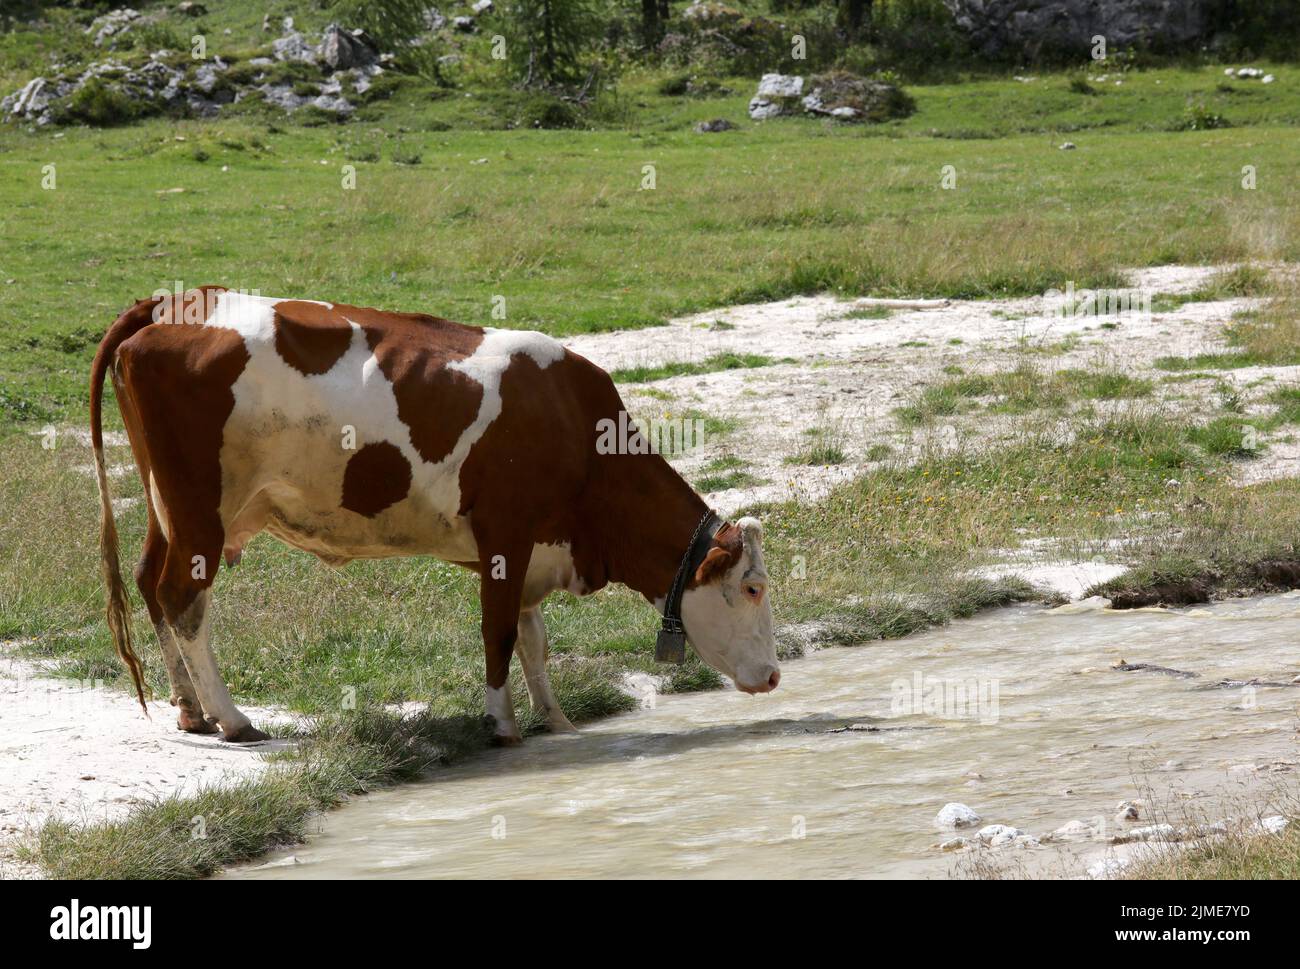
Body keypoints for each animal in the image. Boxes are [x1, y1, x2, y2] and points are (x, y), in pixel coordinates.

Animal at [90, 287, 780, 744]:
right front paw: (502, 723)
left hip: (169, 508)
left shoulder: (533, 547)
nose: (774, 676)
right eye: (751, 588)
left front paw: (554, 717)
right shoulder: (505, 534)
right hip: (201, 509)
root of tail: (176, 302)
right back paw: (232, 719)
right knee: (184, 600)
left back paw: (191, 710)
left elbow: (533, 637)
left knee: (153, 585)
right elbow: (499, 631)